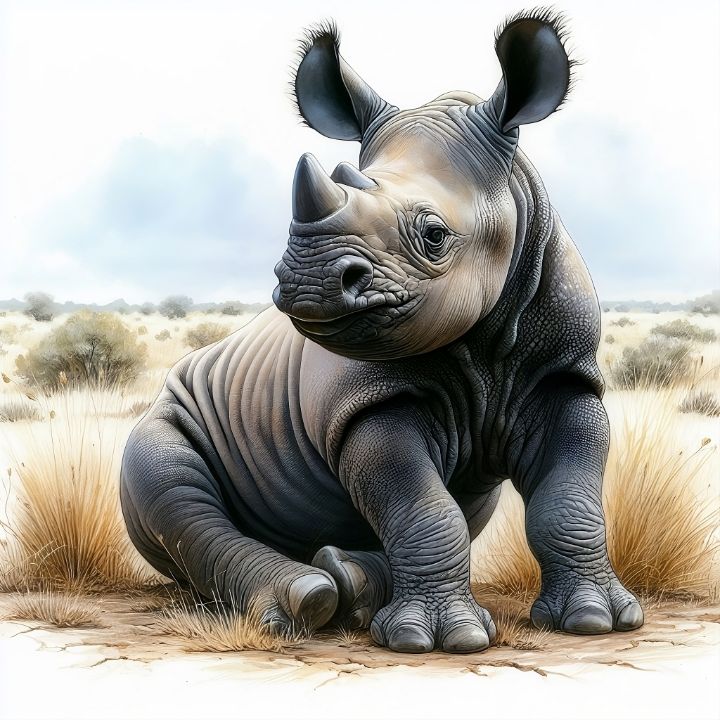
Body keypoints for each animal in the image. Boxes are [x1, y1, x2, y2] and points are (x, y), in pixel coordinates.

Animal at [121, 9, 644, 654]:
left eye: (435, 235)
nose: (310, 281)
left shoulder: (565, 377)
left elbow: (567, 496)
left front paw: (597, 620)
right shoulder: (365, 404)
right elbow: (419, 505)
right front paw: (443, 640)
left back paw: (347, 581)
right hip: (172, 408)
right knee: (168, 481)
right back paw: (307, 602)